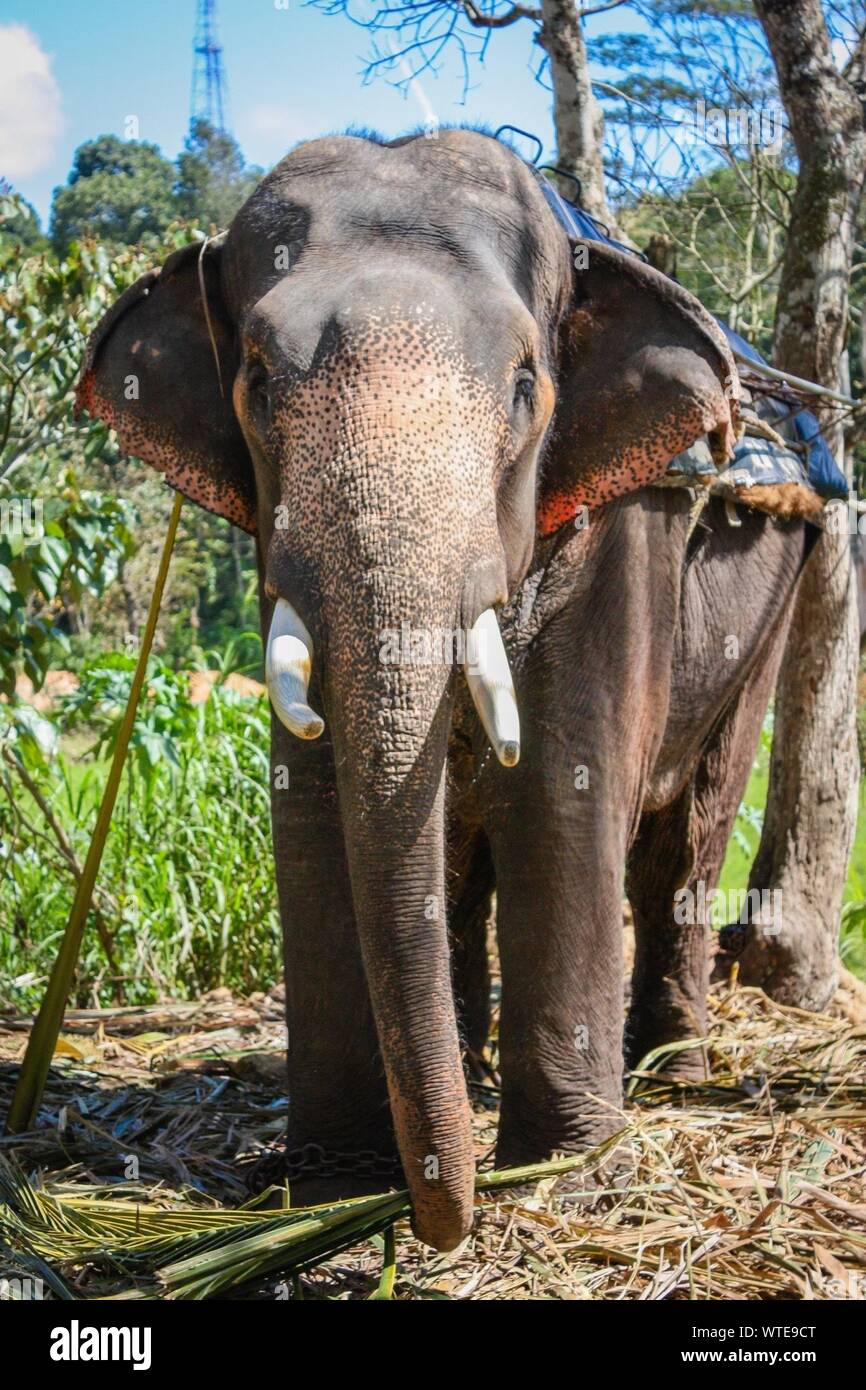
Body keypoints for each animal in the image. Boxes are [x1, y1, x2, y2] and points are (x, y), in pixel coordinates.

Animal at [76, 126, 792, 1253]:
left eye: (525, 384)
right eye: (257, 382)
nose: (435, 1221)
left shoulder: (622, 525)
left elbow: (562, 794)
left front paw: (560, 1180)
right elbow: (314, 814)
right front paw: (330, 1189)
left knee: (687, 828)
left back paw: (669, 1072)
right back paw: (477, 1071)